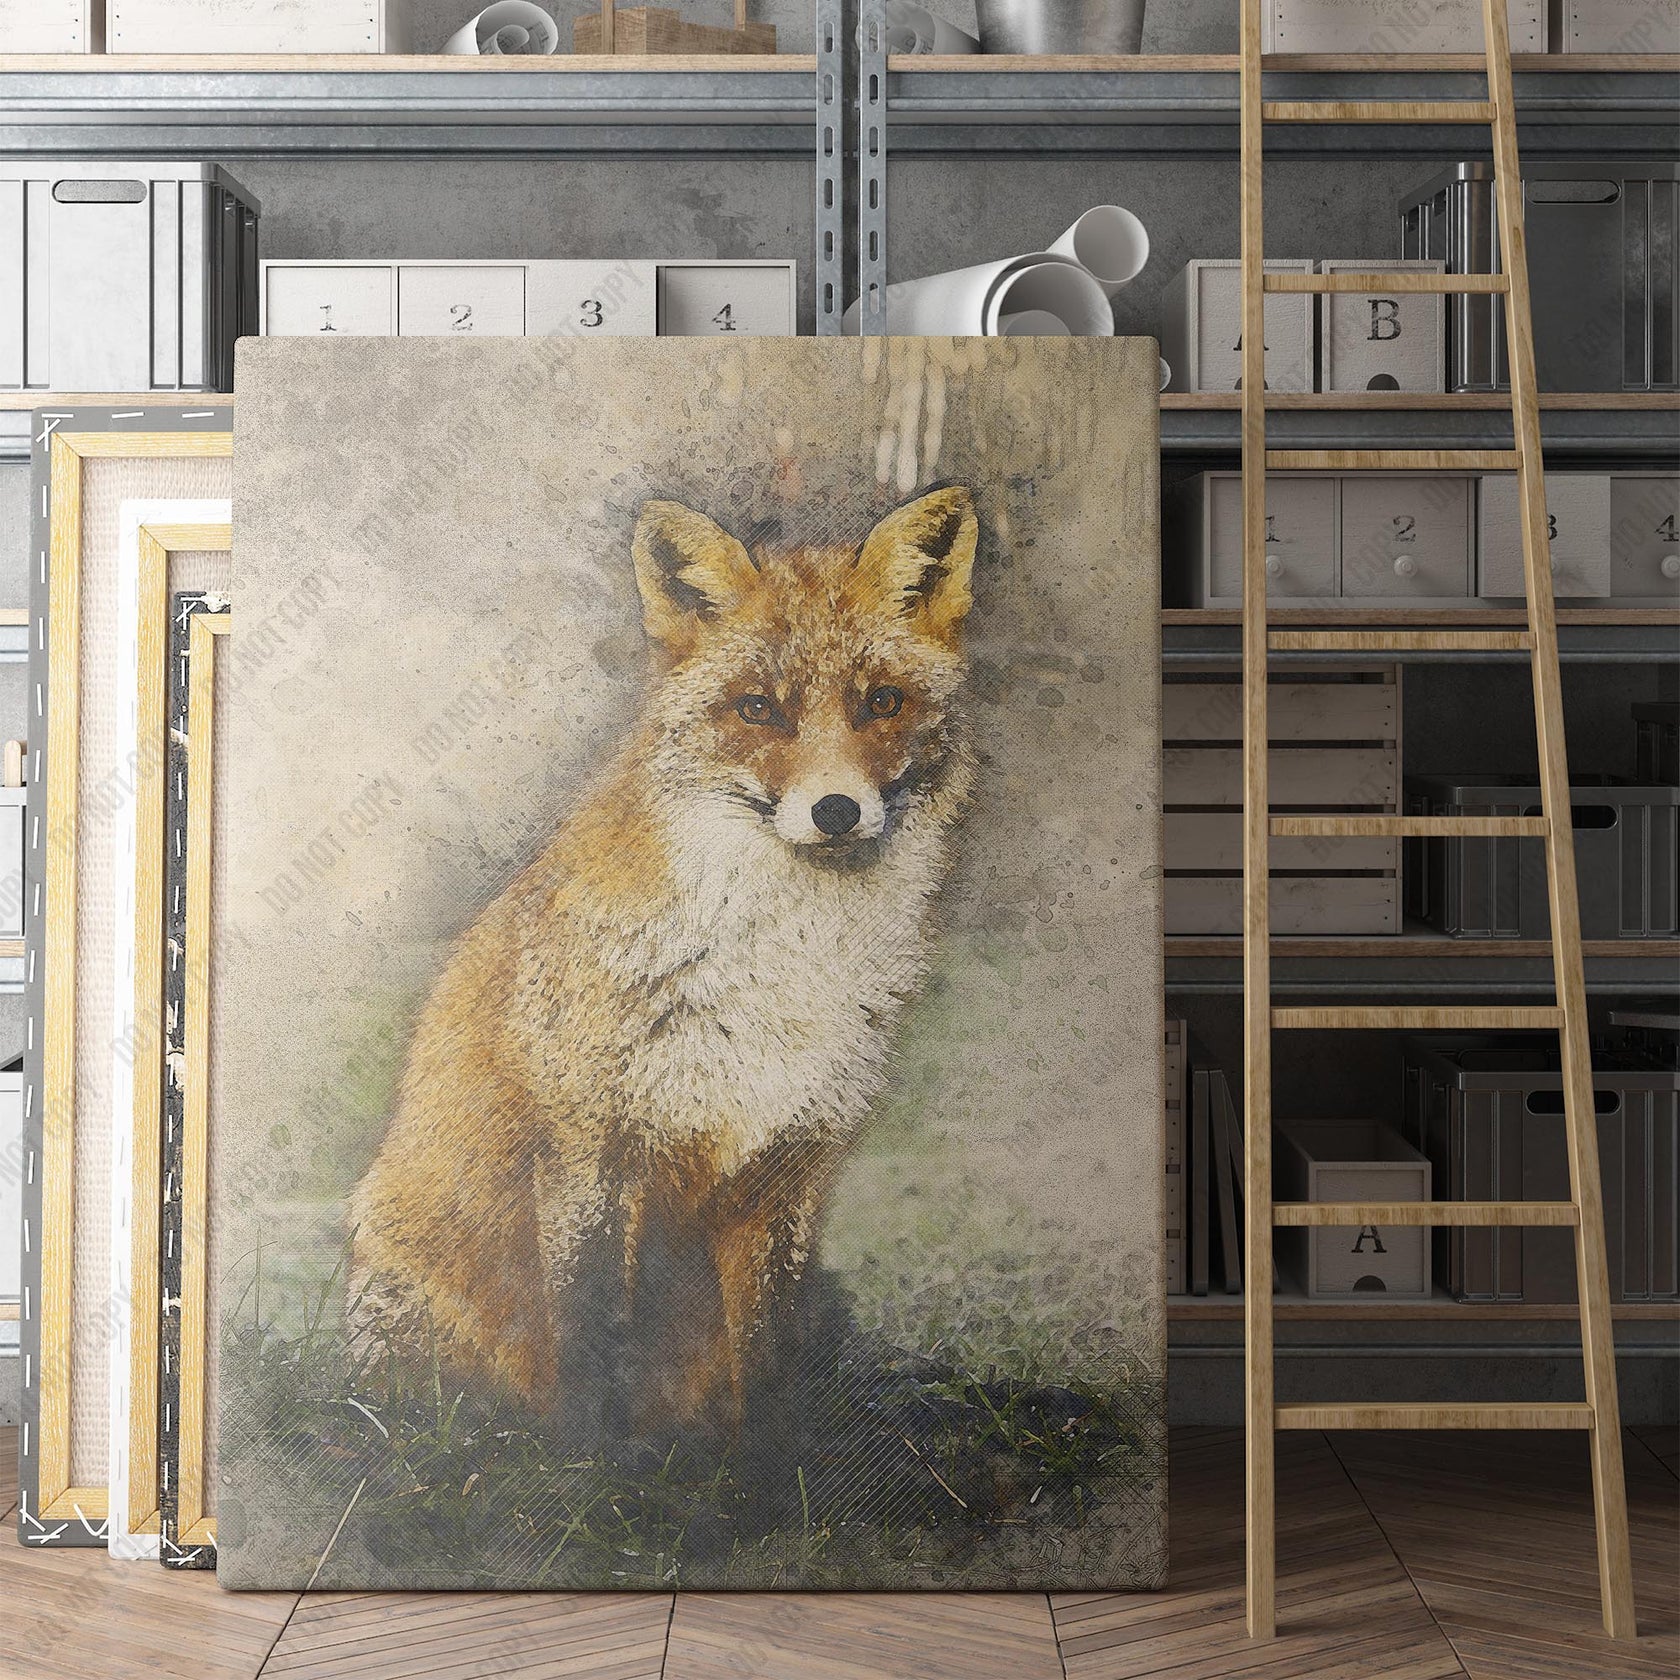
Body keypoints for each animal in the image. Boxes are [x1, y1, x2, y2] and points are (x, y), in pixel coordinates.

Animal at [348, 484, 980, 1434]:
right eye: (757, 709)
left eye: (881, 702)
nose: (836, 810)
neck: (783, 968)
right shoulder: (591, 1149)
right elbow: (592, 1328)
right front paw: (596, 1459)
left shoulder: (791, 1168)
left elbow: (768, 1354)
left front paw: (771, 1458)